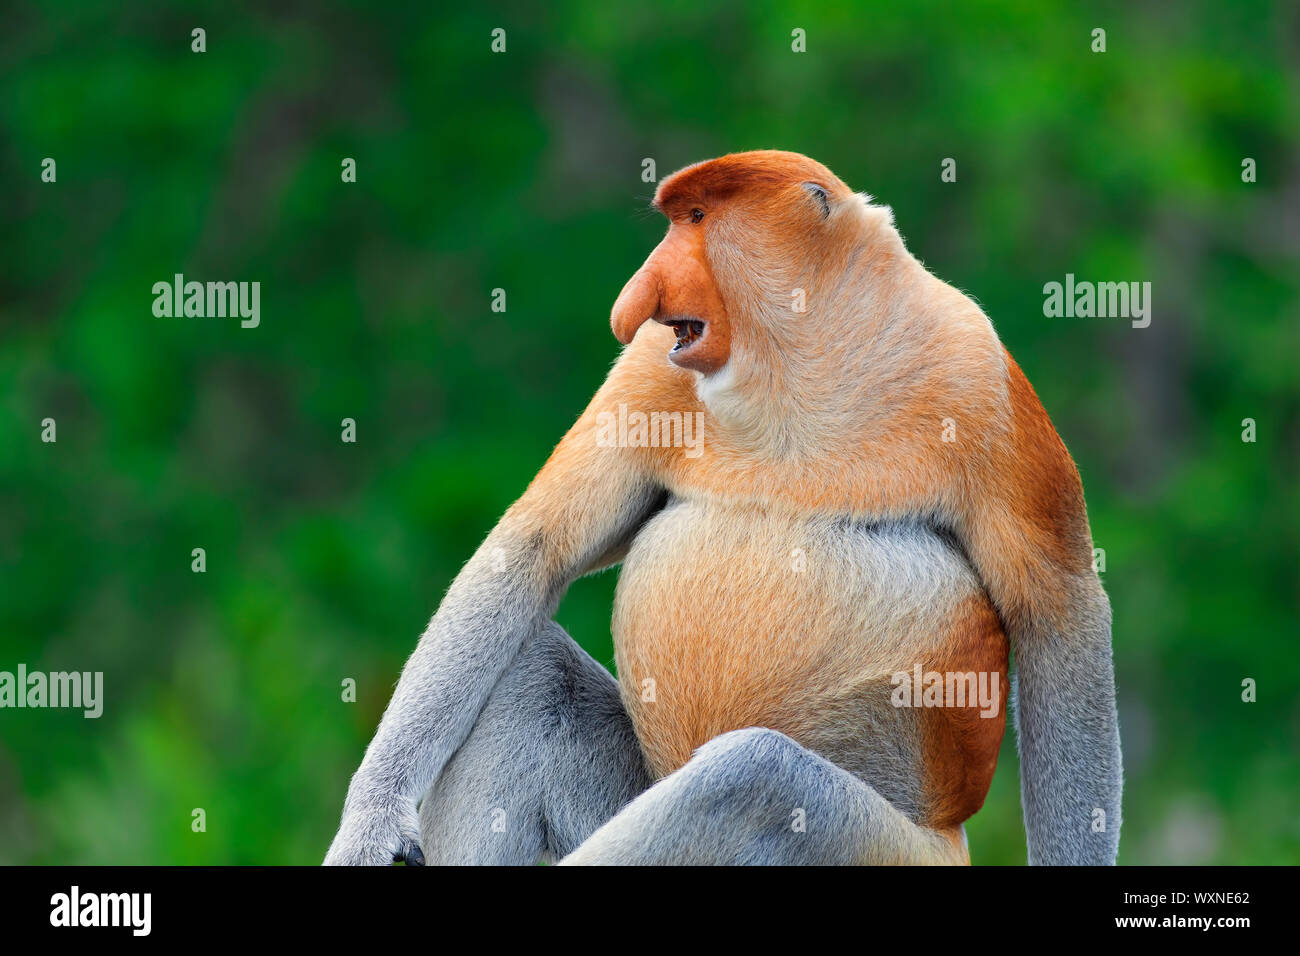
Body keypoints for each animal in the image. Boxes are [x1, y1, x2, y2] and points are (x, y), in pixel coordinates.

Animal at [324, 150, 1122, 866]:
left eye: (700, 219)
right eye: (679, 220)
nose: (634, 302)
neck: (801, 361)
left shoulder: (978, 372)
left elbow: (1058, 610)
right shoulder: (651, 369)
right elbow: (532, 549)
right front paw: (371, 823)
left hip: (887, 850)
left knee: (754, 779)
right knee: (533, 677)